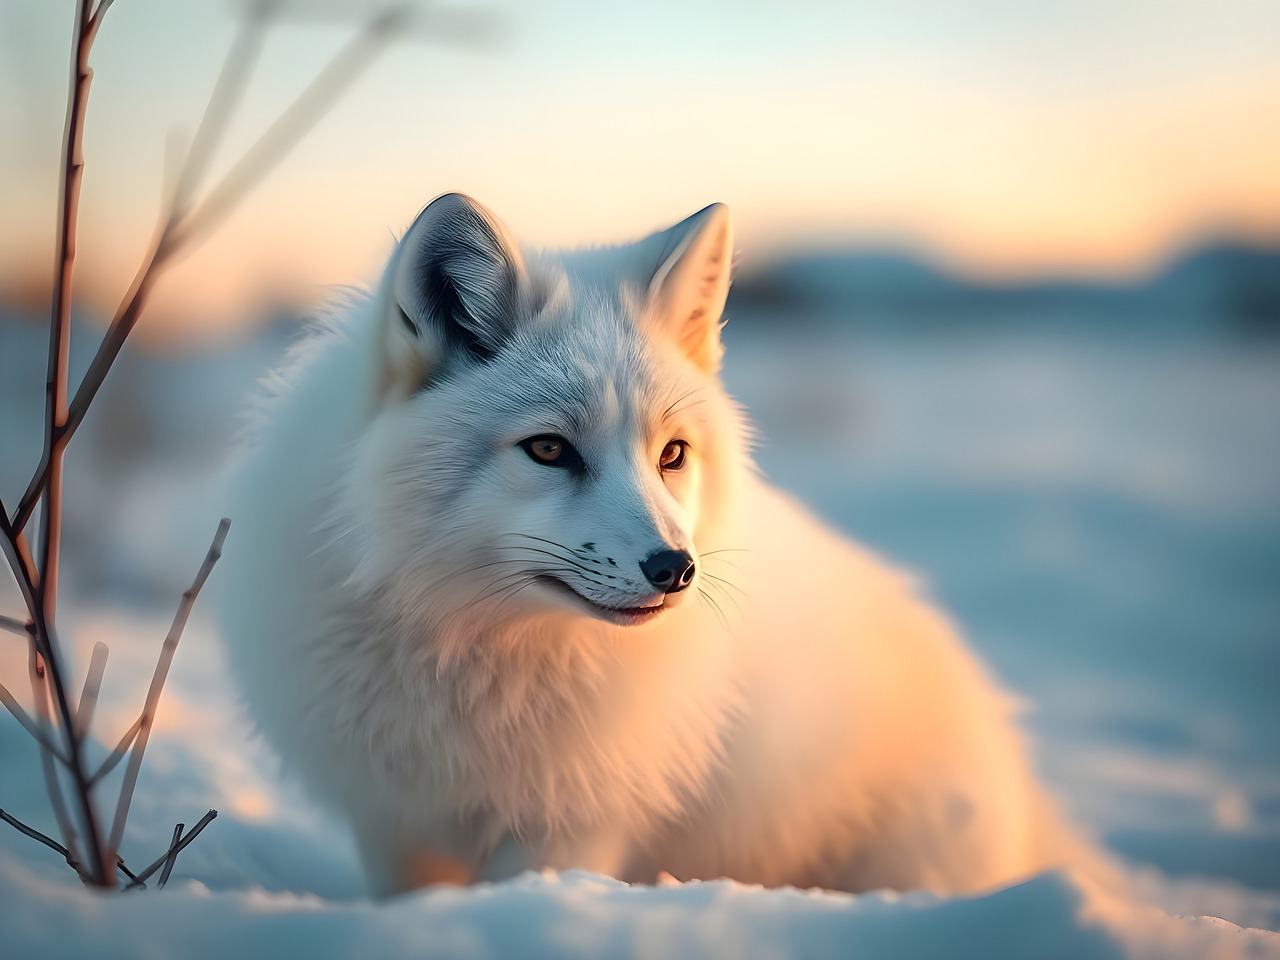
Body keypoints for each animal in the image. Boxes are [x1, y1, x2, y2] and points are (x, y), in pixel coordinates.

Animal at [219, 193, 1109, 898]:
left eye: (671, 454)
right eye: (549, 450)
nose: (676, 570)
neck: (472, 651)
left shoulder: (571, 826)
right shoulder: (393, 821)